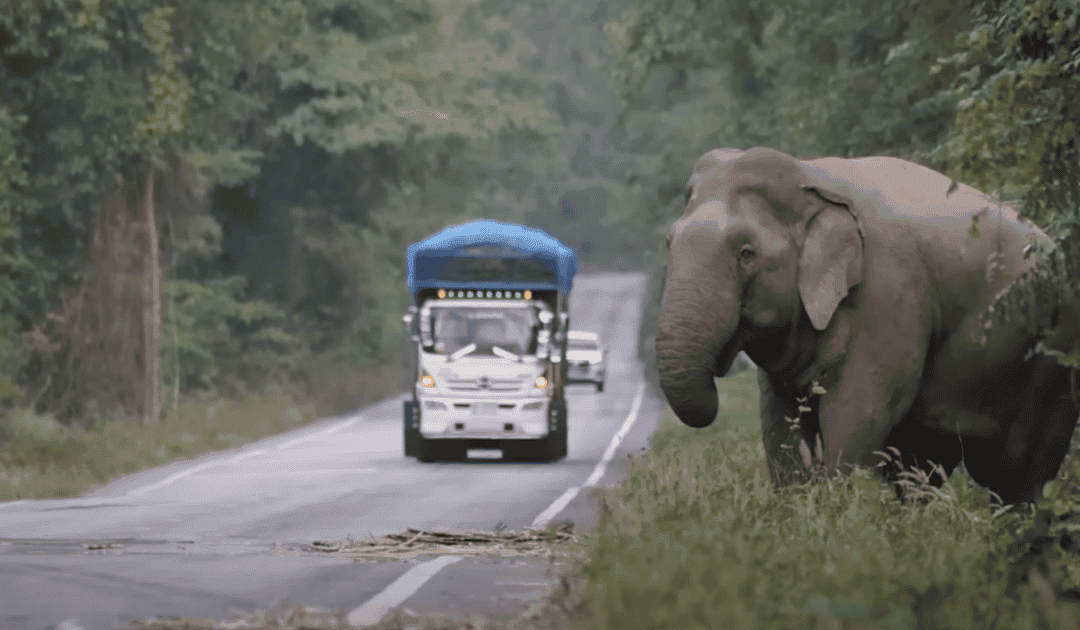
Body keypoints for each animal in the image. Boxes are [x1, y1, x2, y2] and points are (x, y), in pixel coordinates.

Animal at [657, 146, 1078, 504]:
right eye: (668, 243)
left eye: (746, 253)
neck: (810, 175)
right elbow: (781, 422)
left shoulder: (890, 292)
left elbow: (857, 414)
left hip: (1054, 350)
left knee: (1016, 474)